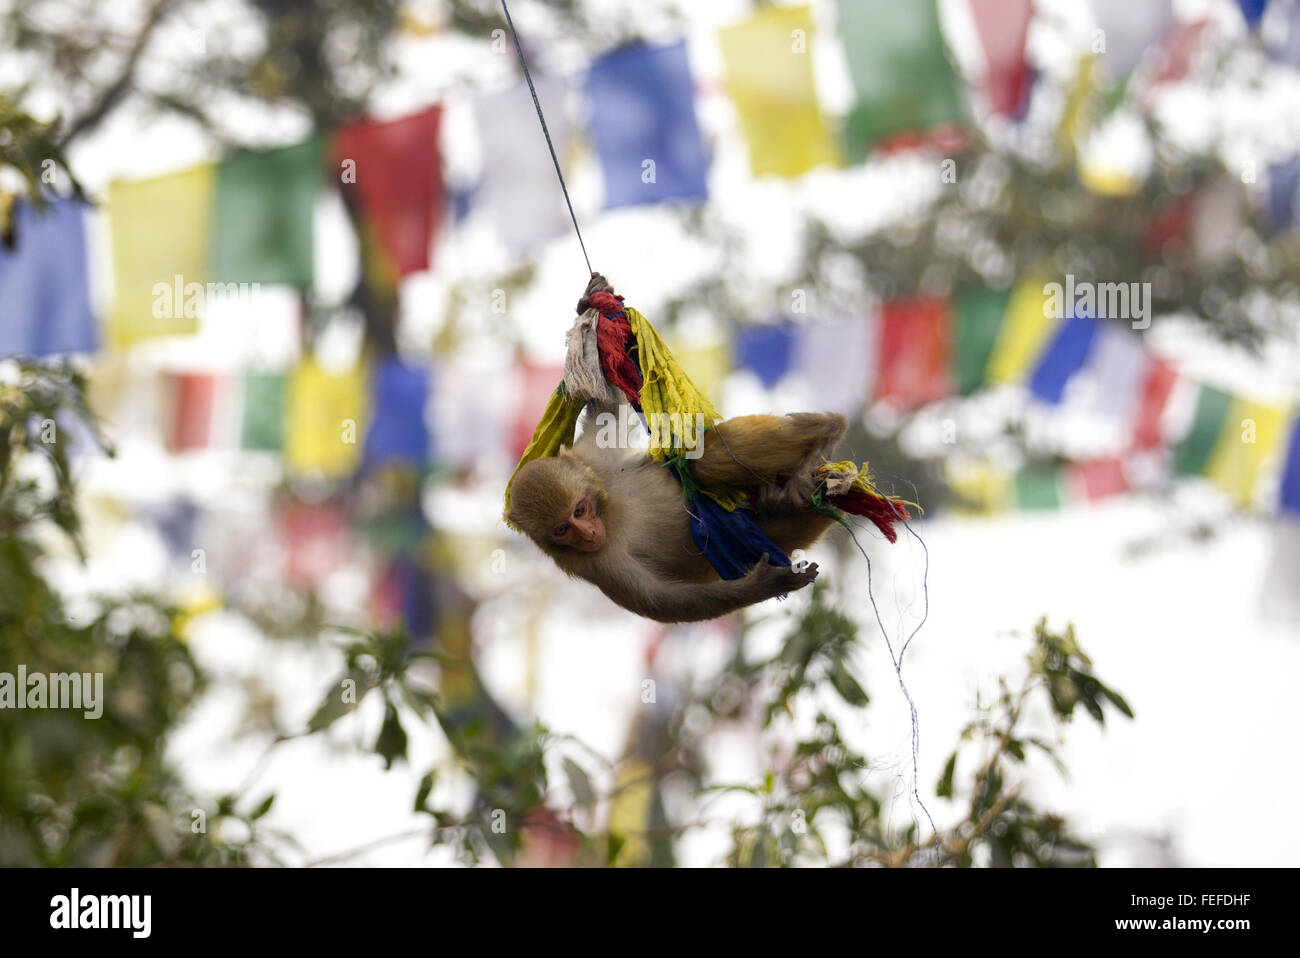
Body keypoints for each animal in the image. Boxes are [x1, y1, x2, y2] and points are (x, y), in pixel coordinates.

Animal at [506, 404, 851, 623]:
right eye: (562, 529)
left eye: (579, 509)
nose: (589, 533)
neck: (609, 512)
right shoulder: (594, 563)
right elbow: (665, 601)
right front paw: (766, 584)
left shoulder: (591, 461)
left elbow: (606, 414)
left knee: (699, 462)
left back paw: (827, 430)